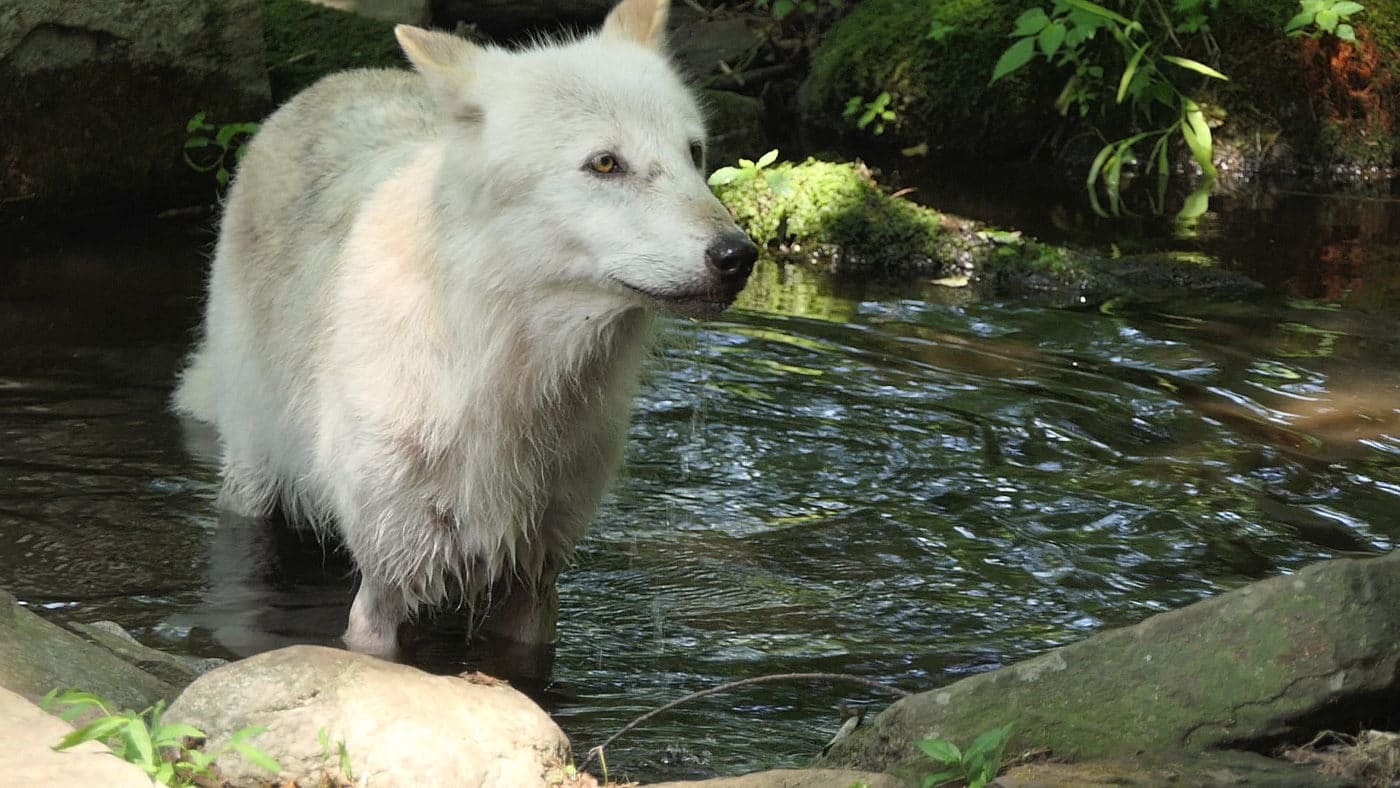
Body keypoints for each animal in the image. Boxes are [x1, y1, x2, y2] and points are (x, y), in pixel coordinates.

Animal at [172, 0, 756, 656]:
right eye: (606, 163)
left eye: (694, 153)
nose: (738, 256)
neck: (507, 375)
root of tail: (336, 79)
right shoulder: (383, 585)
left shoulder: (537, 579)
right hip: (252, 476)